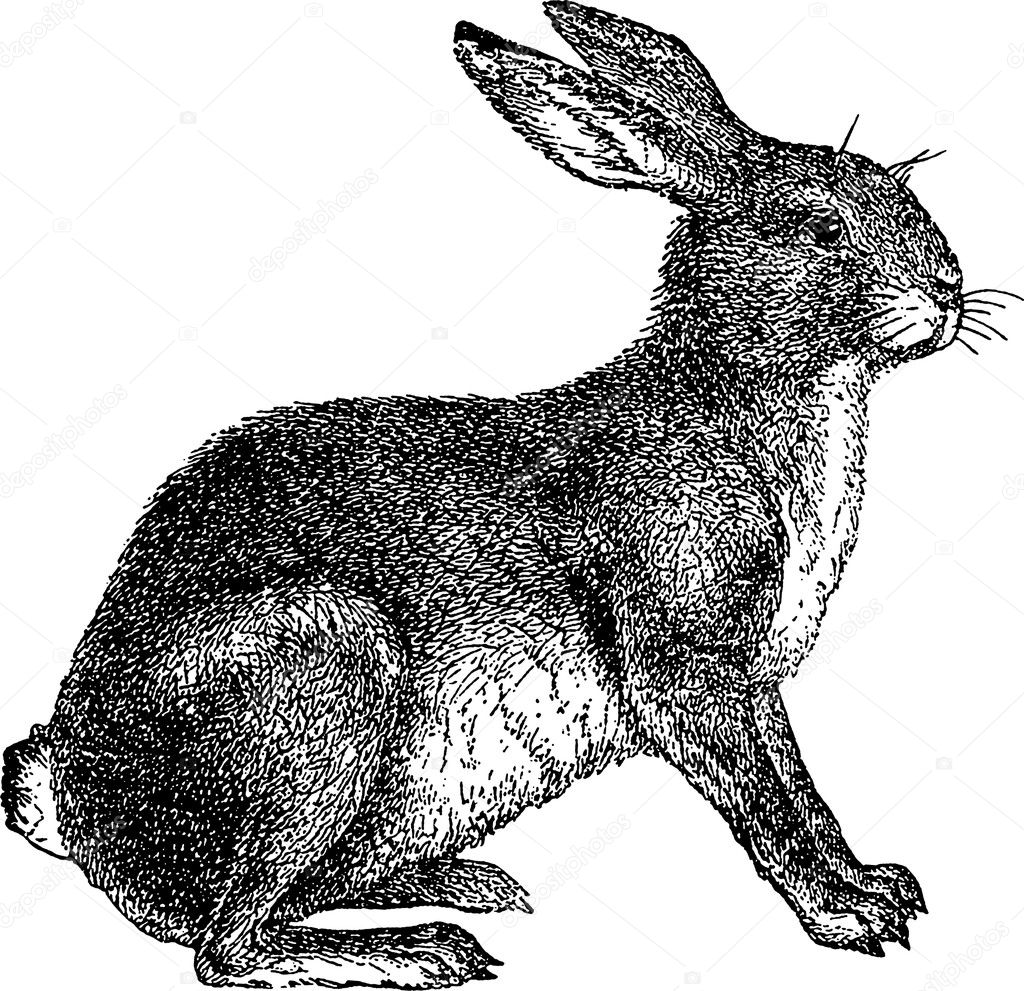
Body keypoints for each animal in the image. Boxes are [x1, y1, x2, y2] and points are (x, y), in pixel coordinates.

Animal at [3, 1, 982, 986]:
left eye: (897, 190)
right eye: (817, 229)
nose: (948, 289)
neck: (733, 390)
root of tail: (76, 802)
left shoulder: (755, 681)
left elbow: (801, 786)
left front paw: (880, 886)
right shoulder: (683, 661)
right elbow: (763, 801)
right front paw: (848, 918)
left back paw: (473, 886)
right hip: (326, 669)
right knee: (226, 943)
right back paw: (420, 953)